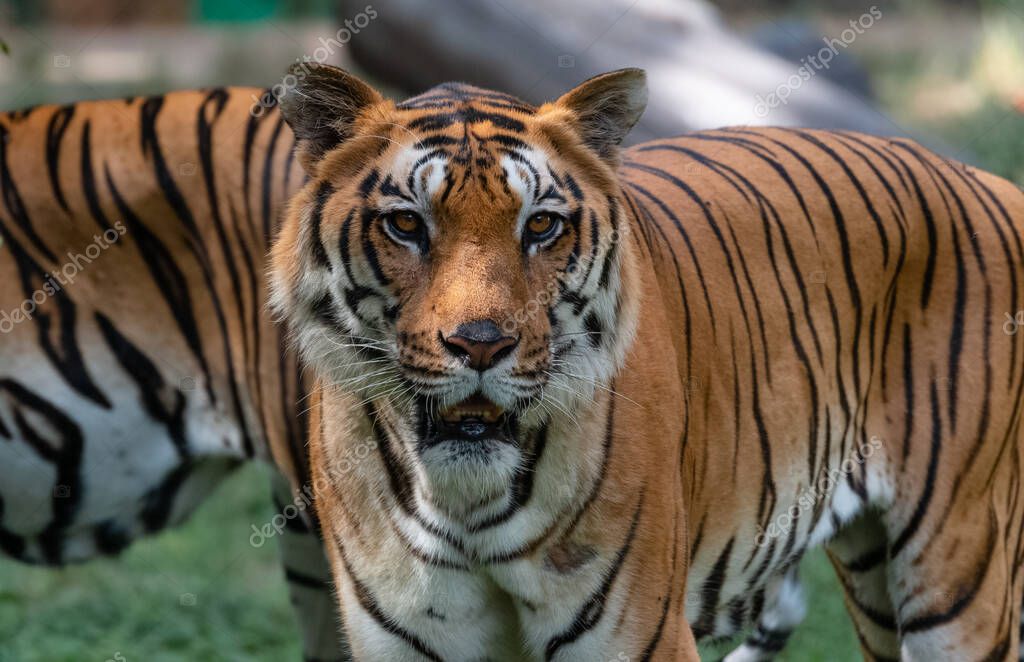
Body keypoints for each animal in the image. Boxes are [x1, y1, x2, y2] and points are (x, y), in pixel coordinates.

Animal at [269, 62, 1024, 661]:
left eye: (540, 225)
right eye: (406, 224)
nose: (481, 344)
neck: (465, 503)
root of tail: (986, 181)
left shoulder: (640, 636)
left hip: (958, 574)